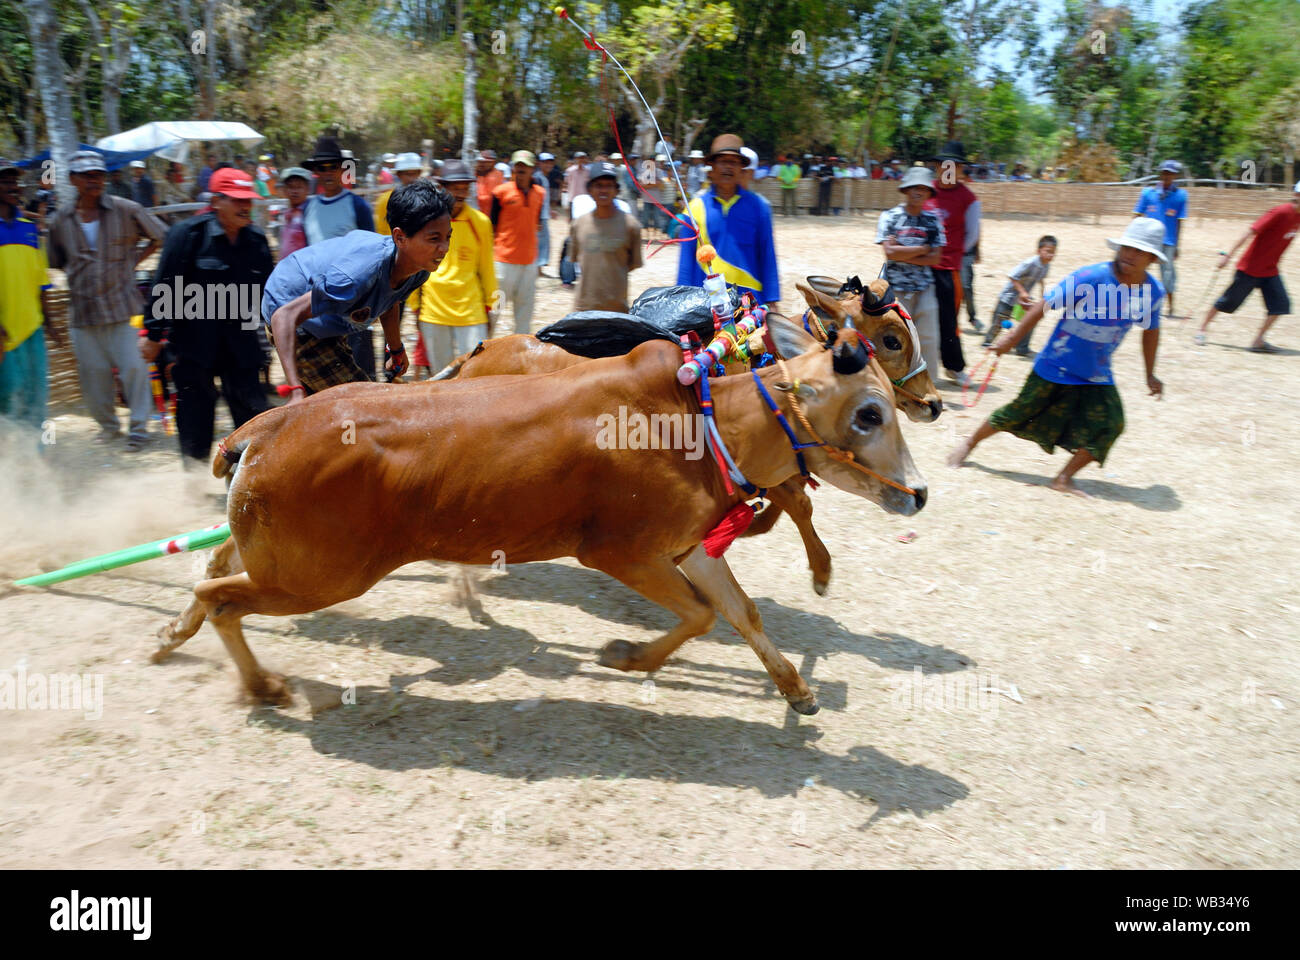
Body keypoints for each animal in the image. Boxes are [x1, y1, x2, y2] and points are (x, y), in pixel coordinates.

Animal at [153, 315, 926, 715]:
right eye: (869, 412)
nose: (918, 493)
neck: (701, 420)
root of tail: (269, 422)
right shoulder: (622, 552)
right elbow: (704, 614)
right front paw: (625, 656)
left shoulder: (689, 547)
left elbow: (742, 614)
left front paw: (796, 689)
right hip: (315, 578)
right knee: (219, 594)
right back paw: (261, 684)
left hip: (280, 555)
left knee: (212, 563)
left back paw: (172, 635)